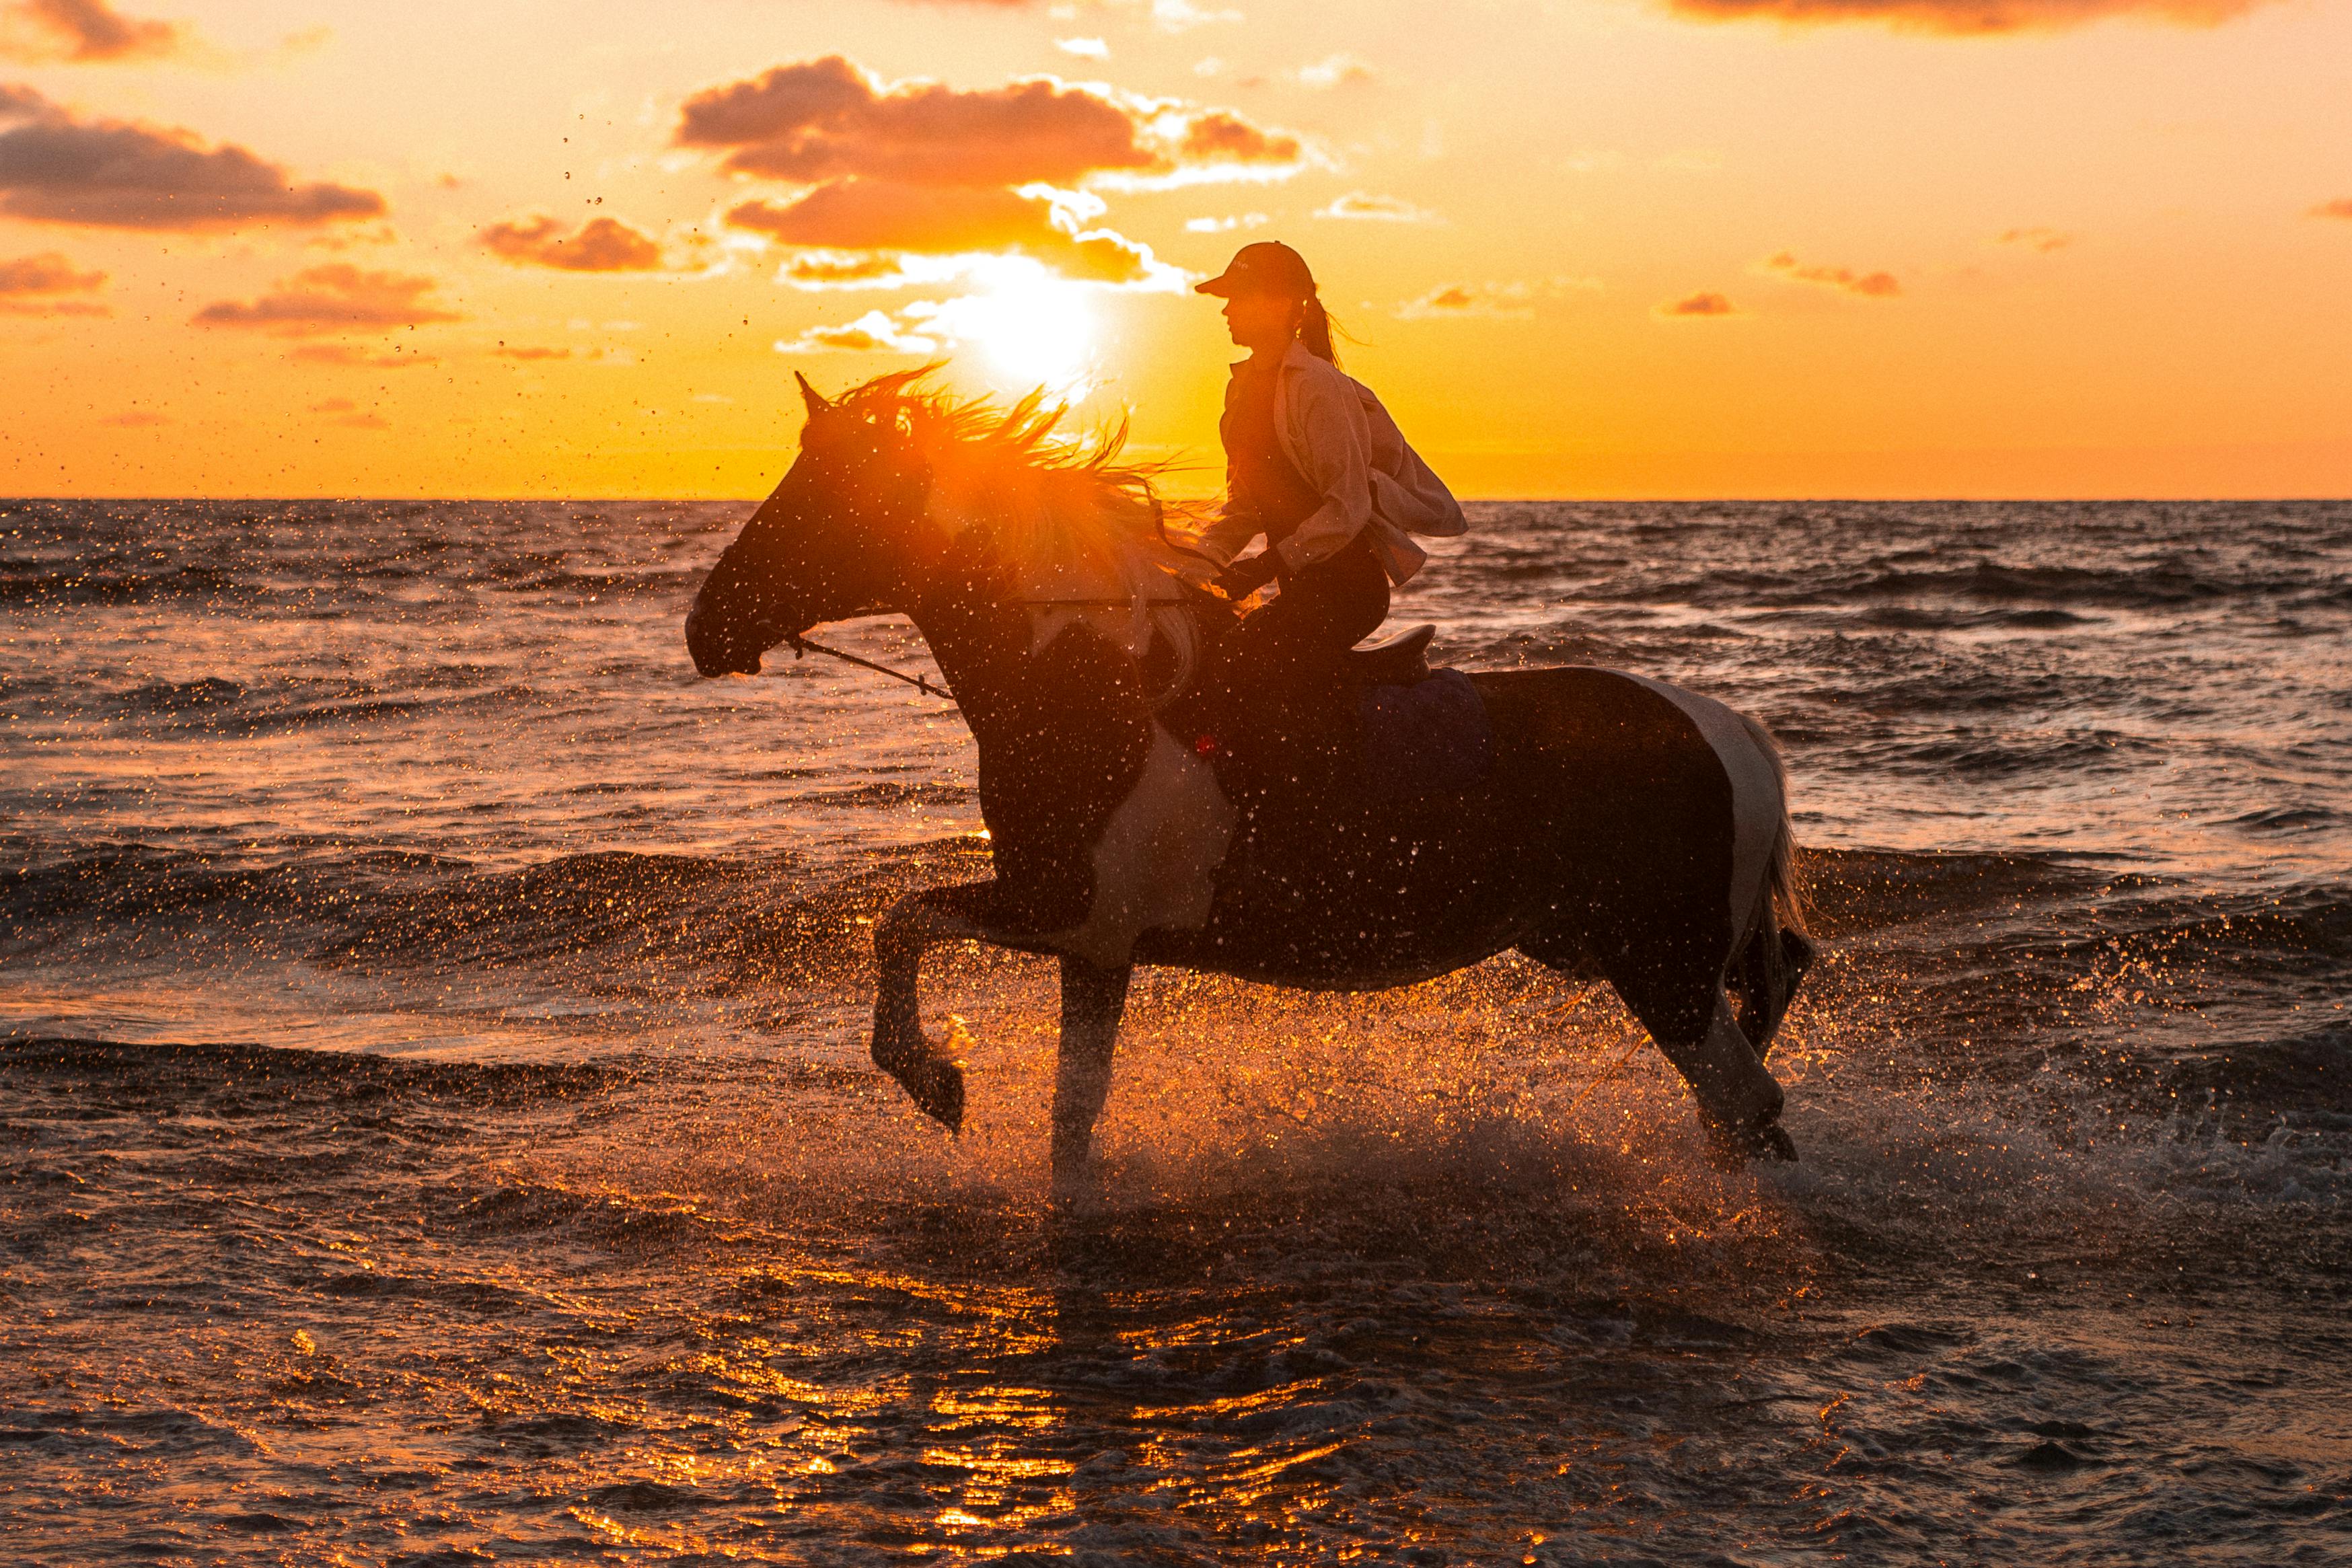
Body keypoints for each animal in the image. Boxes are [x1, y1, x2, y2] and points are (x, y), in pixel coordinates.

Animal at [686, 370, 1817, 1194]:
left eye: (821, 501)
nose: (705, 627)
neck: (1092, 681)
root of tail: (1732, 731)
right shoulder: (1097, 946)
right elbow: (1069, 1110)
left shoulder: (1065, 907)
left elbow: (902, 922)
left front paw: (933, 1079)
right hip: (1623, 951)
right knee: (1759, 1053)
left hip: (1662, 969)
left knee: (1750, 1107)